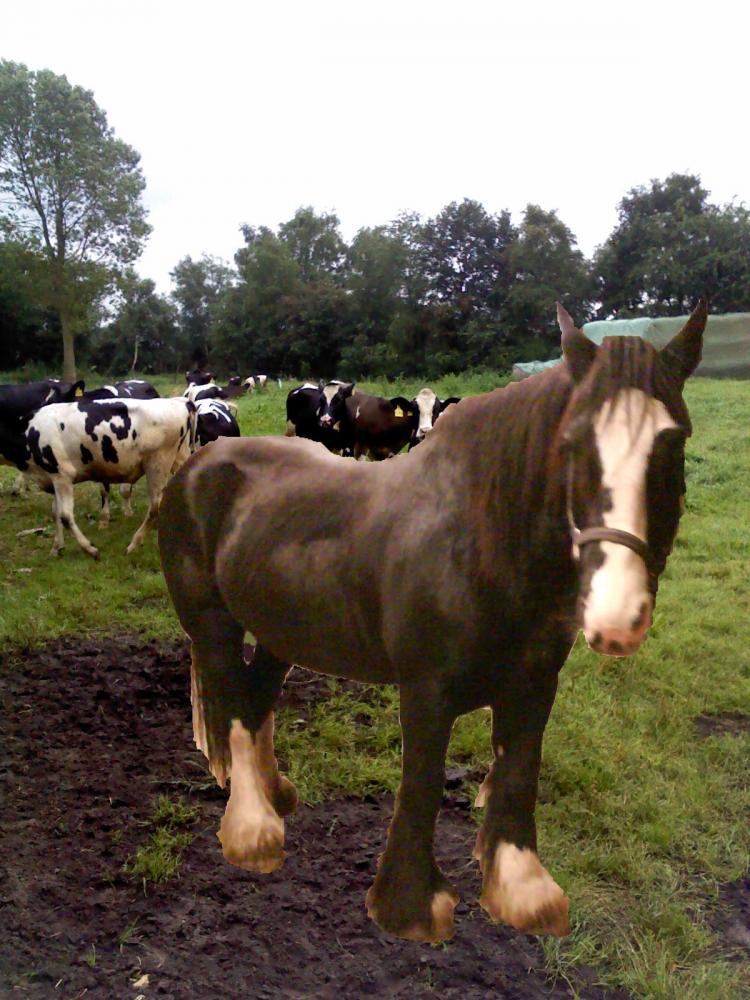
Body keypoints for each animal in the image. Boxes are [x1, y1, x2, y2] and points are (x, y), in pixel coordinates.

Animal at [0, 397, 196, 559]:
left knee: (155, 506)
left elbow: (65, 515)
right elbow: (56, 513)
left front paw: (90, 549)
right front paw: (57, 547)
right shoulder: (52, 478)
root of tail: (180, 402)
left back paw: (134, 544)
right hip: (180, 457)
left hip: (158, 462)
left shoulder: (62, 475)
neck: (28, 432)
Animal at [158, 299, 707, 944]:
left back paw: (275, 798)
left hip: (280, 629)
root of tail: (200, 463)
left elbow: (519, 773)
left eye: (673, 442)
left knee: (252, 704)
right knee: (231, 707)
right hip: (214, 624)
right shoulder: (426, 691)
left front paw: (523, 894)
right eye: (572, 443)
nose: (618, 617)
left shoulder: (534, 685)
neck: (480, 542)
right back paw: (253, 832)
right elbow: (422, 785)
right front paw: (410, 907)